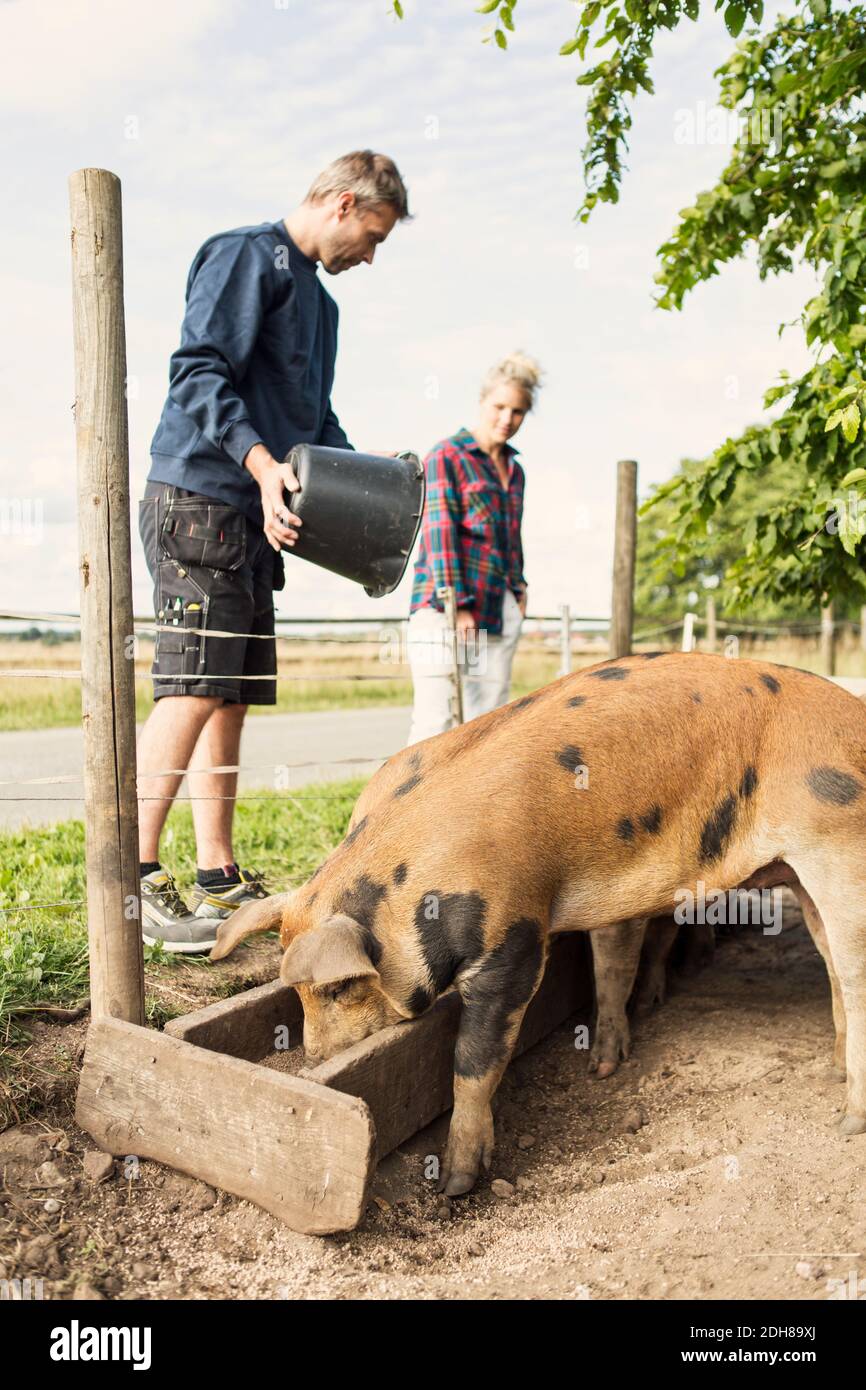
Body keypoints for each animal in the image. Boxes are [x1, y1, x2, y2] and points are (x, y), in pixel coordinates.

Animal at [210, 651, 866, 1195]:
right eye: (295, 990)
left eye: (340, 987)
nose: (314, 1060)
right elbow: (608, 965)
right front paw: (601, 1070)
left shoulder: (514, 936)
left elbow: (475, 1058)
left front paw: (455, 1186)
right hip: (796, 873)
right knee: (828, 965)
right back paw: (829, 1070)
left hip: (837, 842)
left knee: (851, 973)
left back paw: (847, 1122)